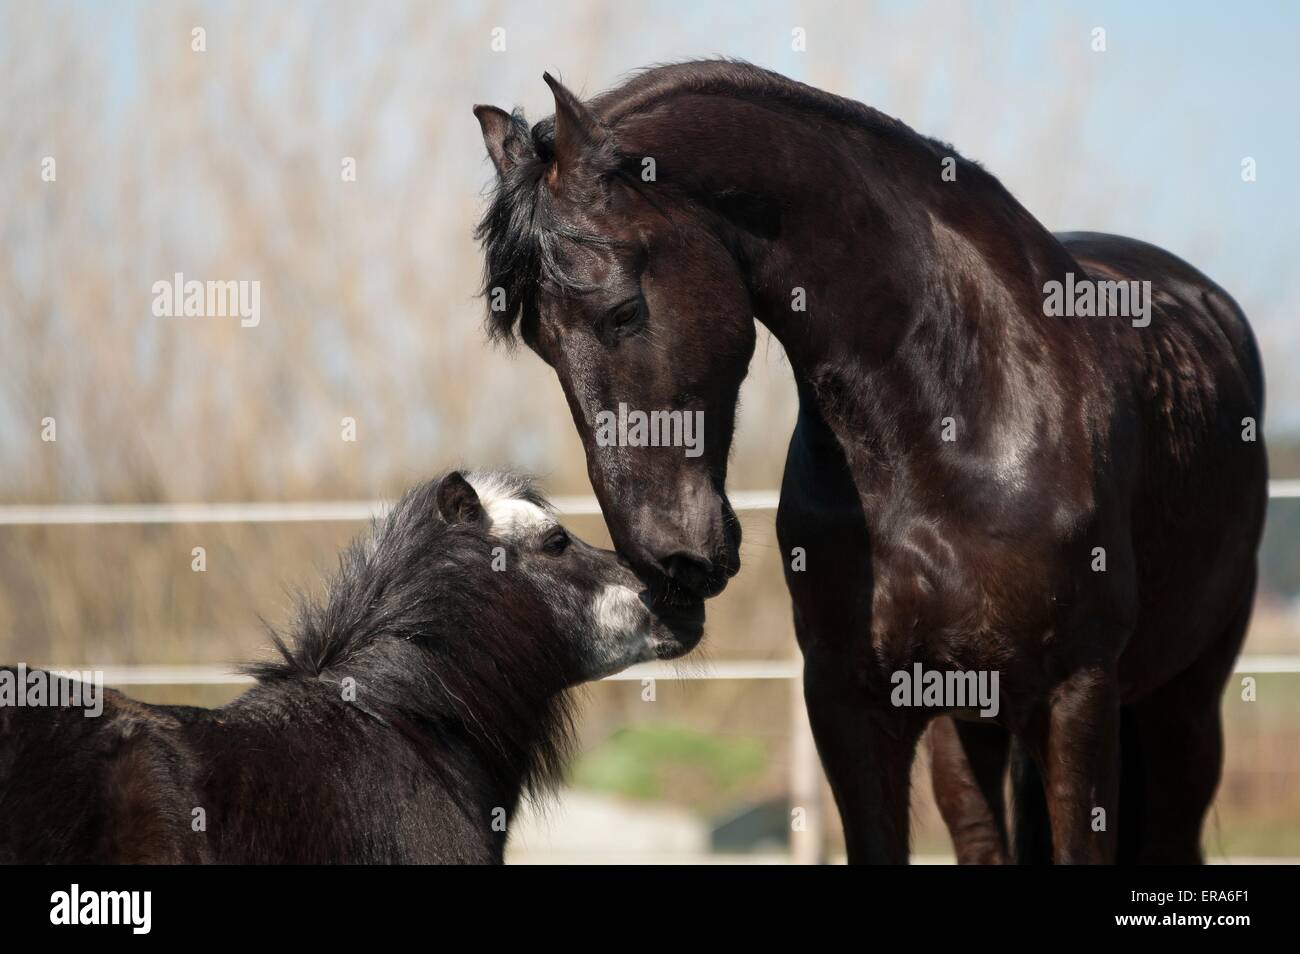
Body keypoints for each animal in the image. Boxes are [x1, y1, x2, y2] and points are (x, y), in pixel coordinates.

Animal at [472, 61, 1267, 863]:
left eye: (623, 311)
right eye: (540, 343)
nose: (670, 561)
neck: (954, 420)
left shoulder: (1078, 695)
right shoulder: (850, 702)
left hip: (1182, 709)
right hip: (969, 729)